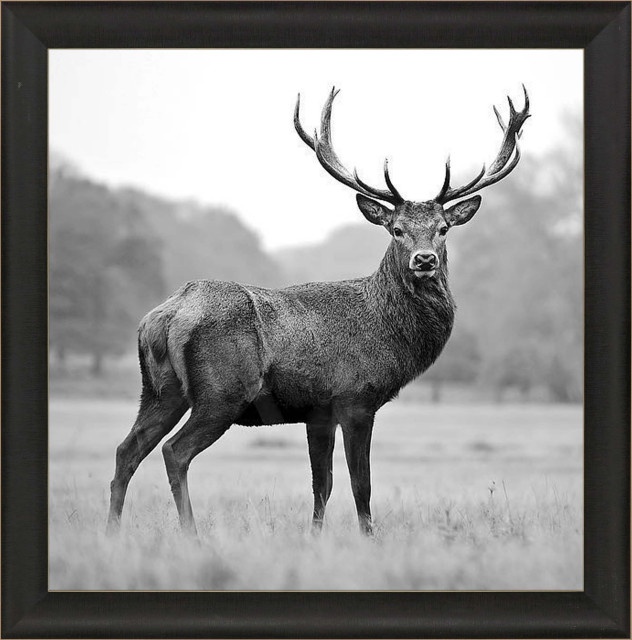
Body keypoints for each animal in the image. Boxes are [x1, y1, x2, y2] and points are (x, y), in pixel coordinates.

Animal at [107, 86, 530, 536]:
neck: (388, 333)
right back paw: (191, 534)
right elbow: (361, 484)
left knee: (126, 449)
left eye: (443, 228)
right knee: (174, 451)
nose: (424, 259)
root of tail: (166, 315)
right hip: (222, 391)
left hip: (159, 390)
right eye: (396, 229)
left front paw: (315, 537)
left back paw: (111, 530)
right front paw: (368, 538)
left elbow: (321, 484)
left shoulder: (318, 412)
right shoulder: (355, 397)